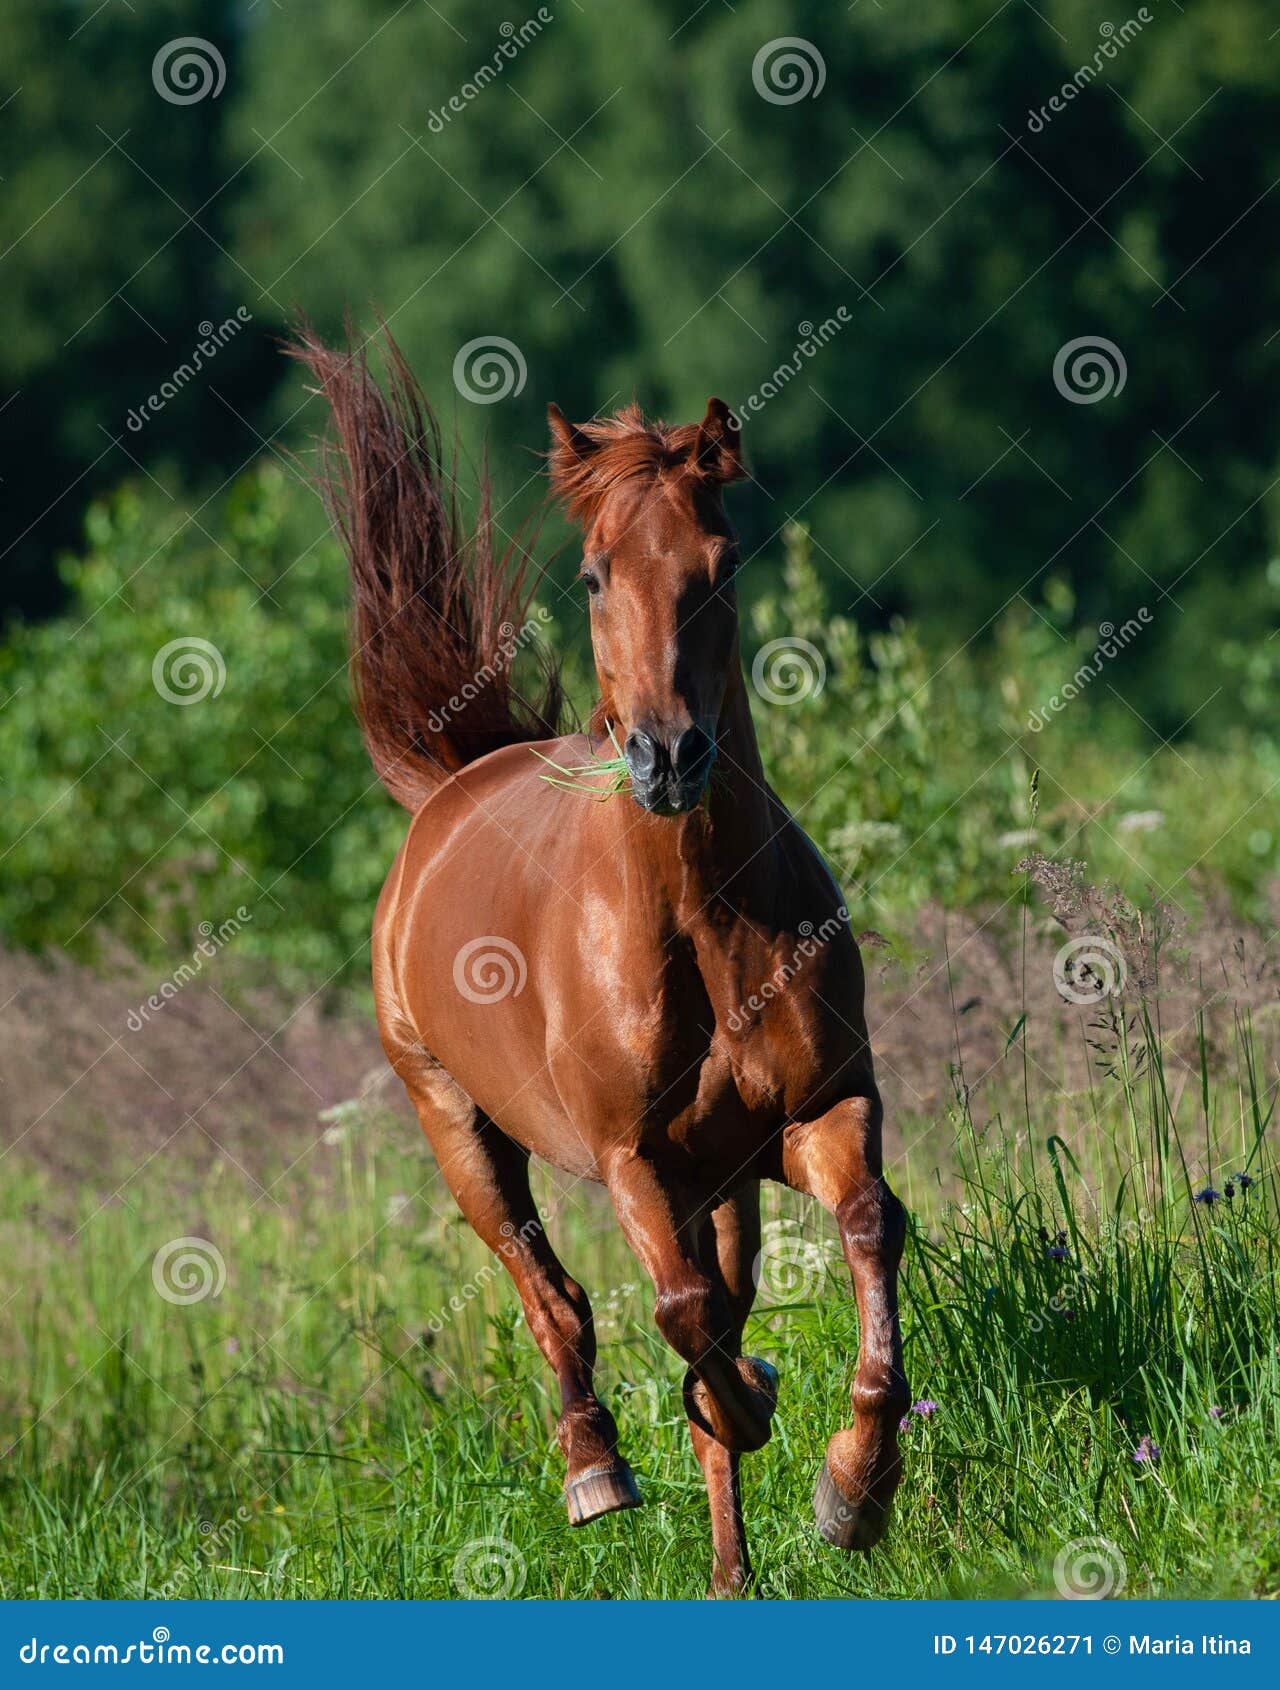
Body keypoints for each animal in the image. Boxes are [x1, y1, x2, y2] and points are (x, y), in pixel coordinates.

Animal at [293, 326, 910, 1595]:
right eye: (591, 576)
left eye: (720, 565)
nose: (669, 756)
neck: (702, 924)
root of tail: (452, 784)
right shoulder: (636, 1162)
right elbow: (679, 1314)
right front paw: (750, 1404)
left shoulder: (817, 1112)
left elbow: (869, 1228)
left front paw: (854, 1487)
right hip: (456, 1124)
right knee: (555, 1297)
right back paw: (593, 1467)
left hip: (721, 1176)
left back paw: (729, 1568)